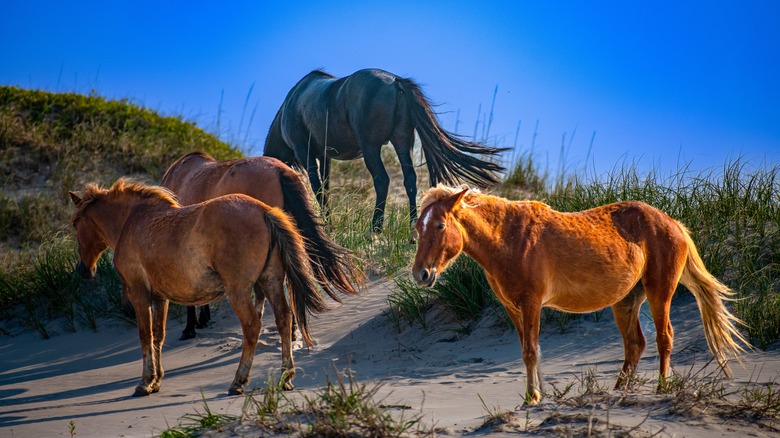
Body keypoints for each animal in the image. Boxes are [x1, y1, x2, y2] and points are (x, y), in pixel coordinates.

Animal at [70, 178, 331, 396]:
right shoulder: (160, 298)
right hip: (272, 281)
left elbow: (145, 336)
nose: (83, 270)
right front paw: (156, 380)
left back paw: (238, 381)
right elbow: (158, 336)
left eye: (75, 224)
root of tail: (264, 211)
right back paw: (286, 376)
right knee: (284, 319)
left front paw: (145, 382)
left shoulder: (139, 294)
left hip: (239, 292)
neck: (132, 220)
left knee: (252, 326)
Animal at [264, 68, 508, 235]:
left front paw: (326, 225)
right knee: (410, 180)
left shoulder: (306, 152)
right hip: (402, 143)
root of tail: (396, 83)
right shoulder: (325, 158)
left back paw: (375, 228)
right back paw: (412, 227)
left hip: (370, 148)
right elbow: (325, 188)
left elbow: (318, 189)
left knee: (382, 180)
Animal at [412, 185, 750, 405]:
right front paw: (538, 394)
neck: (509, 238)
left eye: (439, 225)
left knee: (663, 337)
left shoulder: (531, 303)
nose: (421, 275)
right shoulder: (513, 308)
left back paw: (661, 389)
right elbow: (530, 350)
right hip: (625, 301)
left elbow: (530, 351)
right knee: (635, 344)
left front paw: (532, 398)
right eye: (417, 227)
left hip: (659, 292)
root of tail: (674, 224)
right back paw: (618, 391)